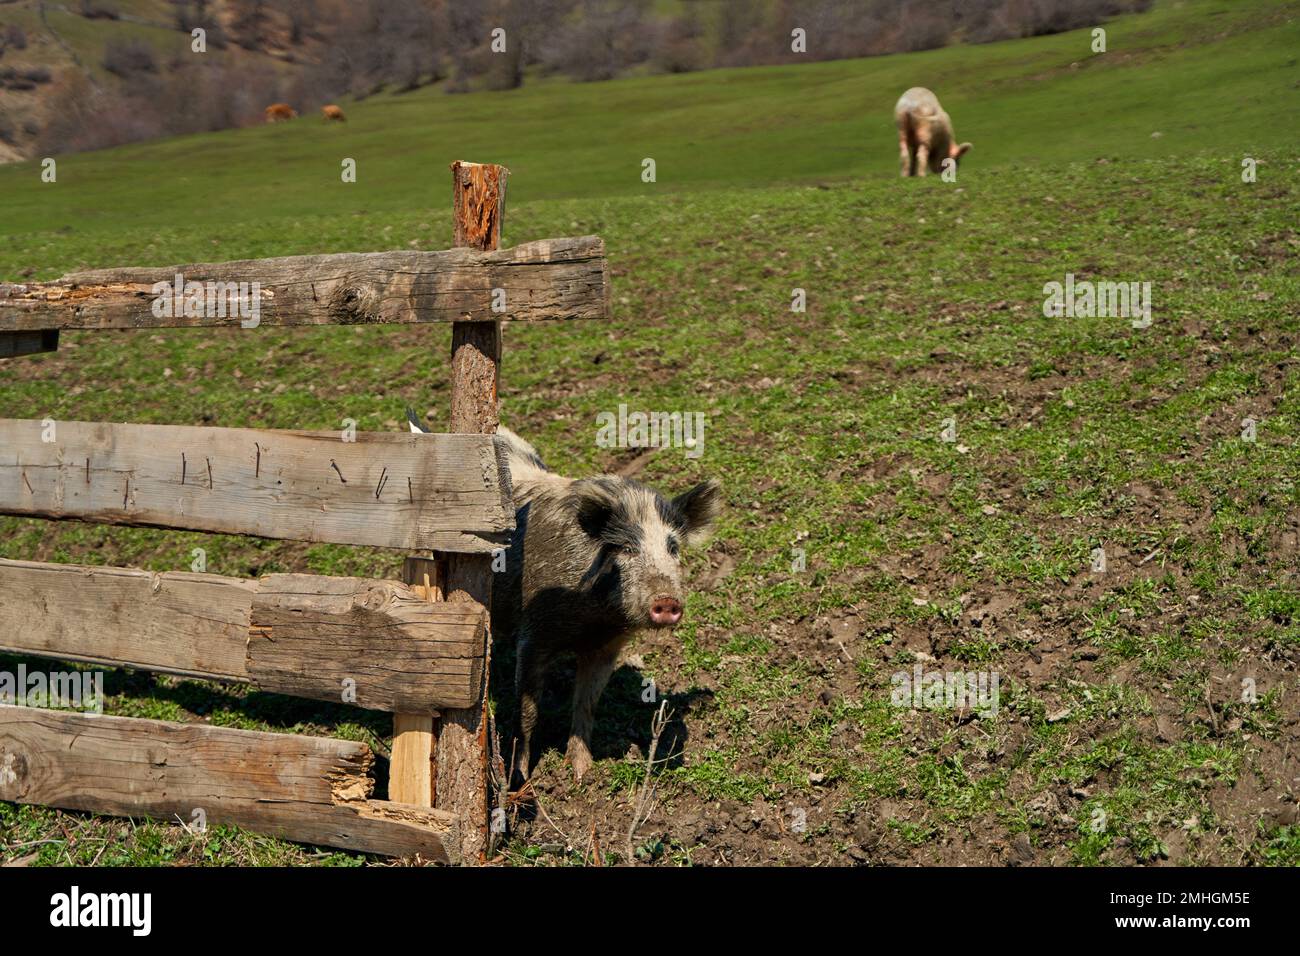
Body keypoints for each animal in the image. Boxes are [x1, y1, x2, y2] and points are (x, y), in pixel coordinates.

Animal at [407, 410, 722, 781]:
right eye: (626, 548)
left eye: (673, 547)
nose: (667, 601)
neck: (594, 615)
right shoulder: (534, 633)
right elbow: (528, 711)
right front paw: (519, 778)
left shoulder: (608, 646)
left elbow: (586, 703)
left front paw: (582, 773)